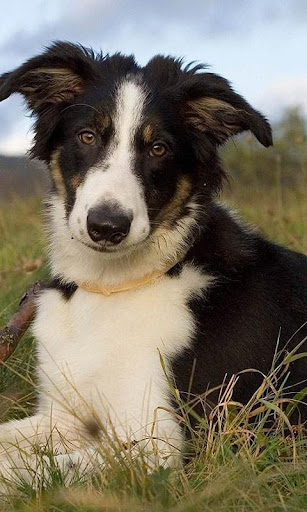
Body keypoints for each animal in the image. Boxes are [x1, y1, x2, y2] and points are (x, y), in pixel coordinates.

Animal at [0, 42, 306, 486]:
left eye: (158, 148)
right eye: (87, 136)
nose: (107, 227)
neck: (111, 287)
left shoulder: (165, 444)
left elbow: (29, 469)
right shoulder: (65, 415)